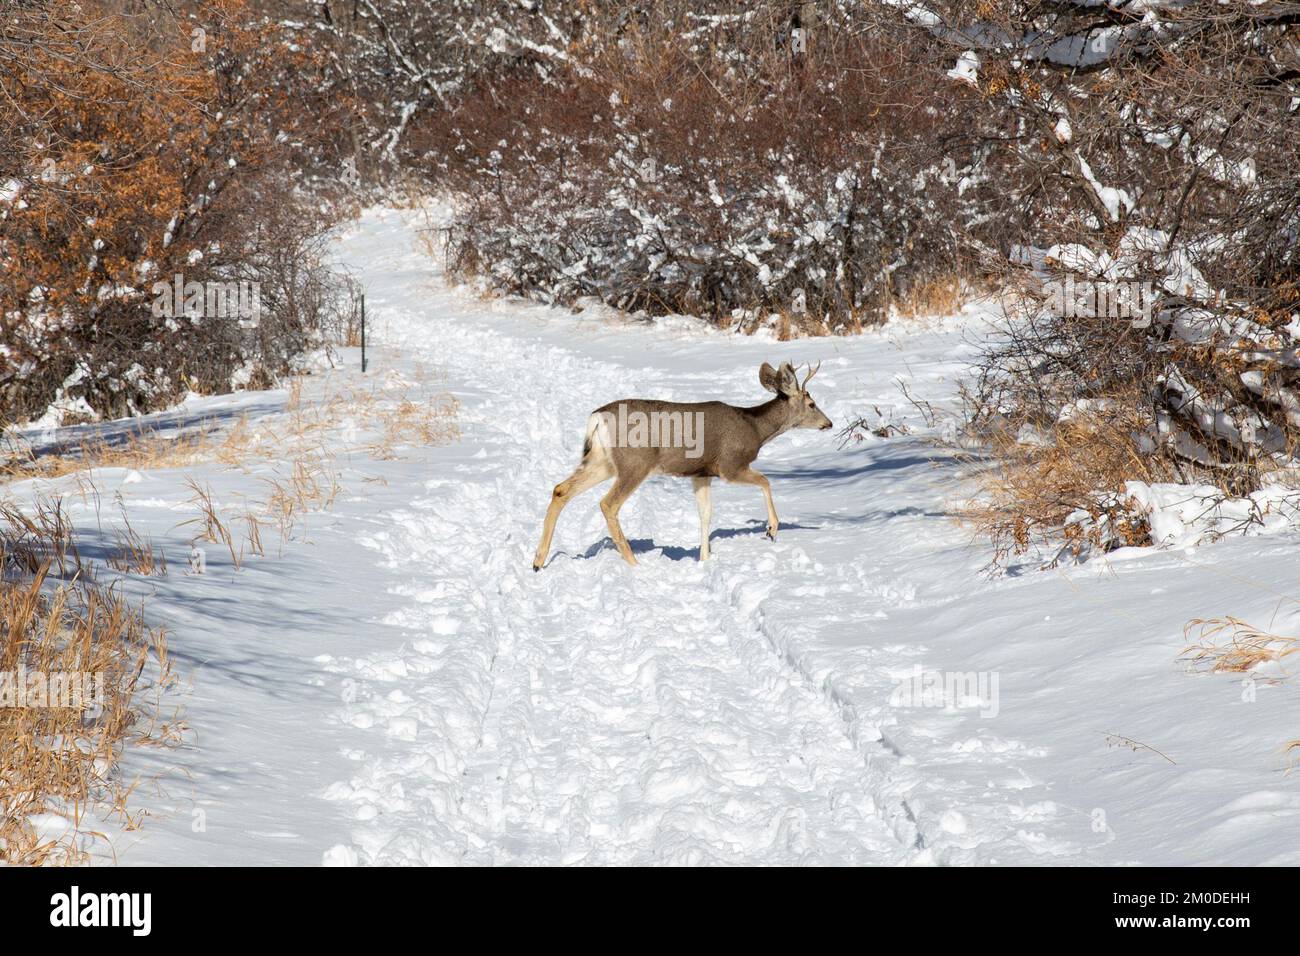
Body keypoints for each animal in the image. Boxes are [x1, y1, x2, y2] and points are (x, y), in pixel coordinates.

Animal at [532, 361, 832, 570]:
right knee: (608, 504)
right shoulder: (729, 465)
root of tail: (597, 418)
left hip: (603, 461)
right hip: (635, 463)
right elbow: (765, 481)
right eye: (812, 403)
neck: (755, 429)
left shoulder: (701, 474)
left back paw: (537, 561)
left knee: (561, 489)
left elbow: (706, 513)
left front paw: (704, 559)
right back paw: (634, 564)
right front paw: (771, 529)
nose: (828, 423)